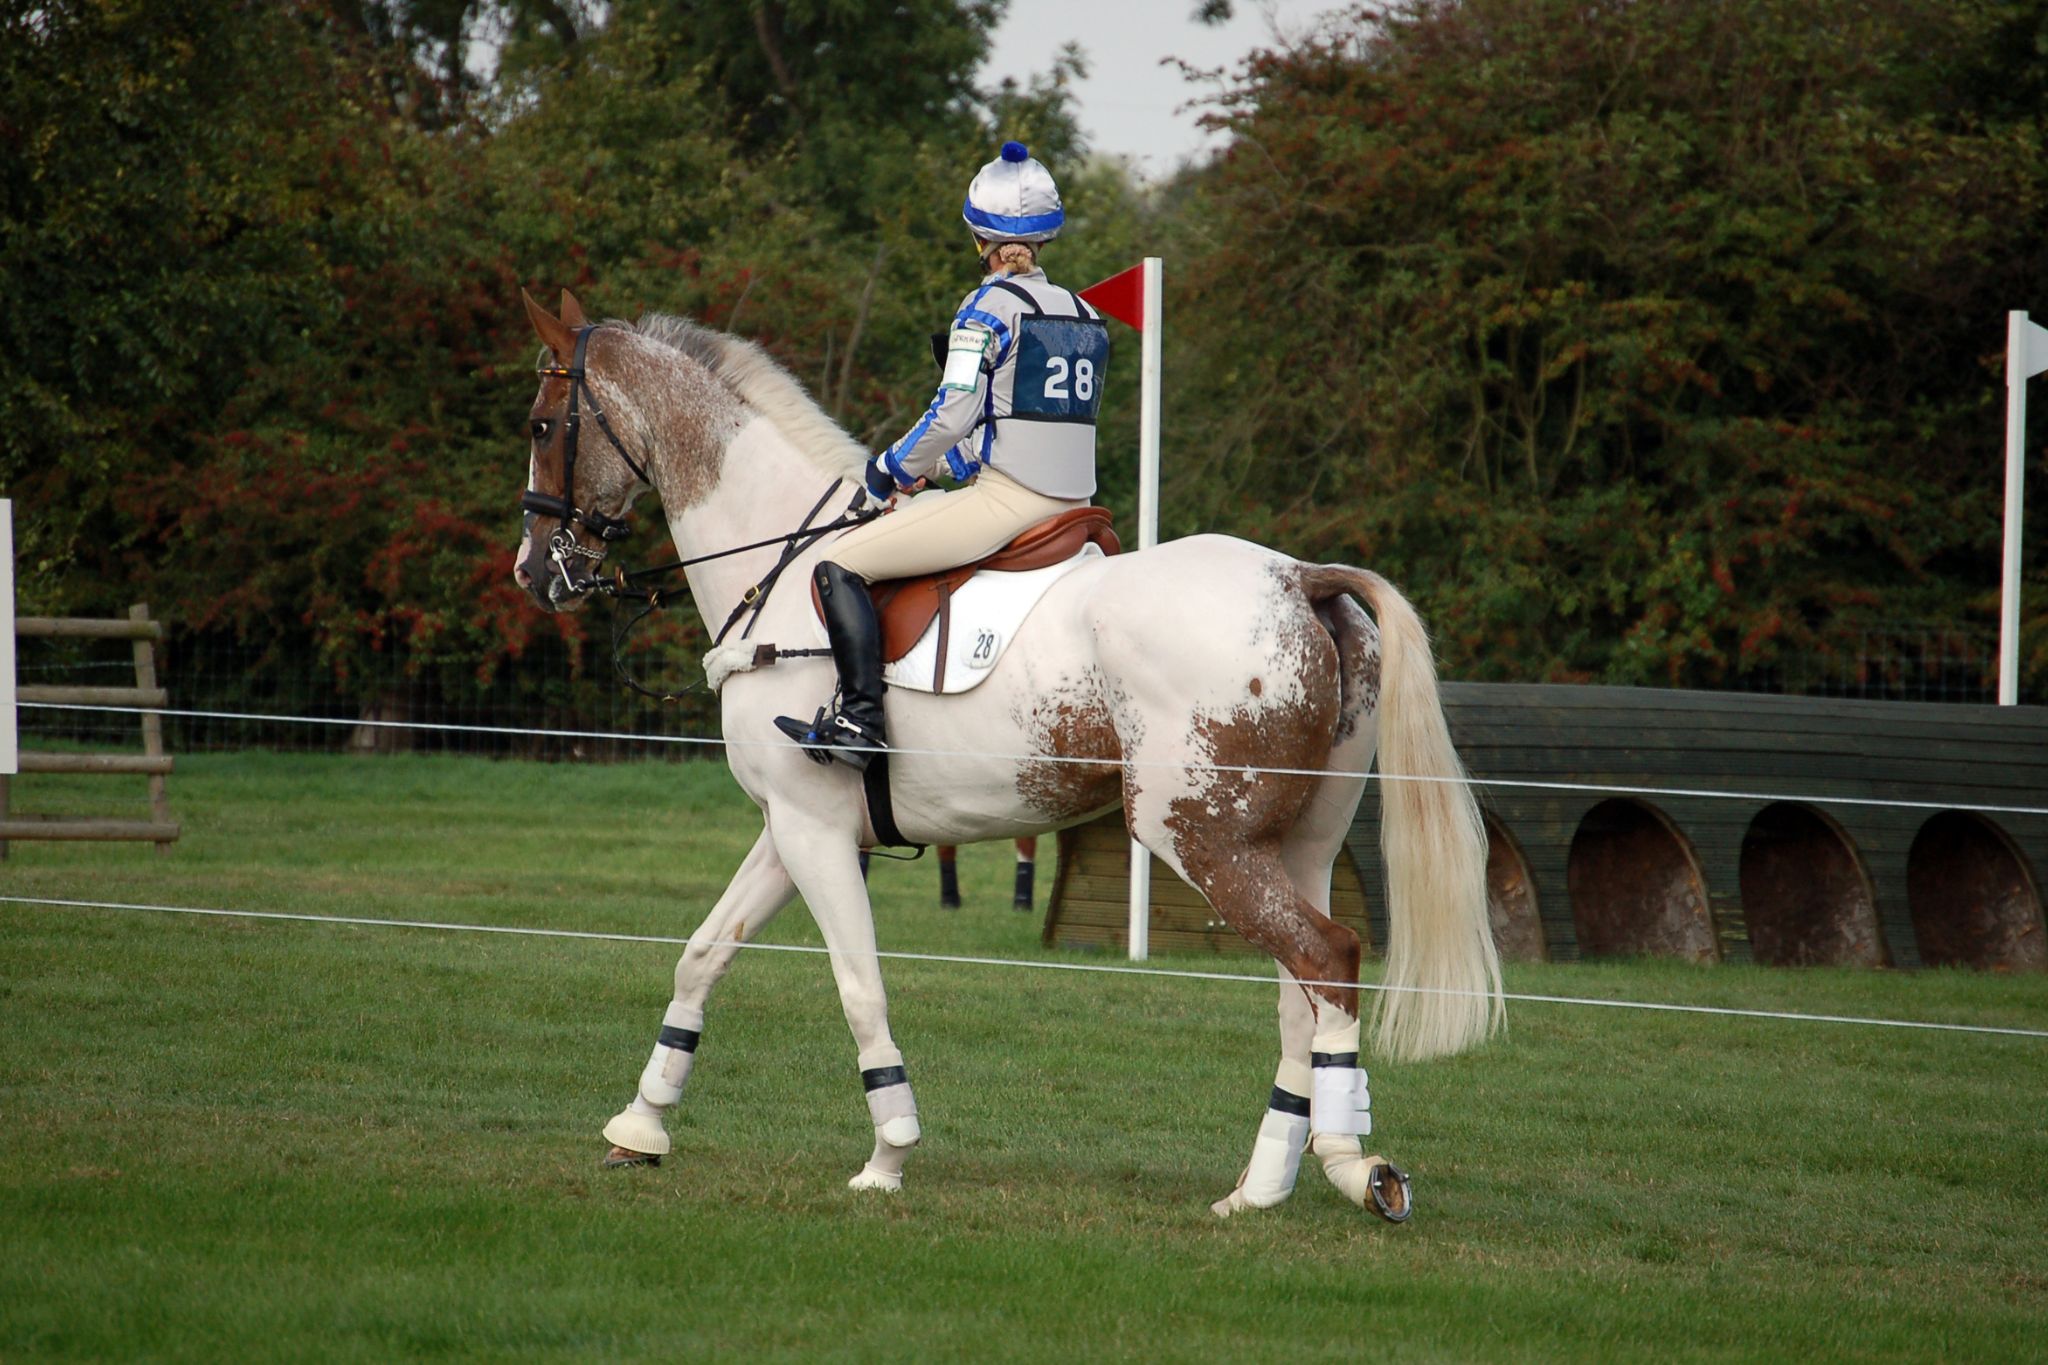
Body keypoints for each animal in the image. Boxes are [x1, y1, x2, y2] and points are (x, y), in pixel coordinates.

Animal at [511, 289, 1503, 1220]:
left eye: (539, 425)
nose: (535, 571)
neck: (782, 566)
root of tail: (1299, 577)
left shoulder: (811, 831)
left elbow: (858, 988)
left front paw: (888, 1156)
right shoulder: (793, 828)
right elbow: (703, 954)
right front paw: (640, 1127)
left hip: (1200, 837)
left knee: (1326, 955)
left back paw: (1315, 1170)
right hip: (1299, 842)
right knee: (1303, 988)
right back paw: (1297, 1175)